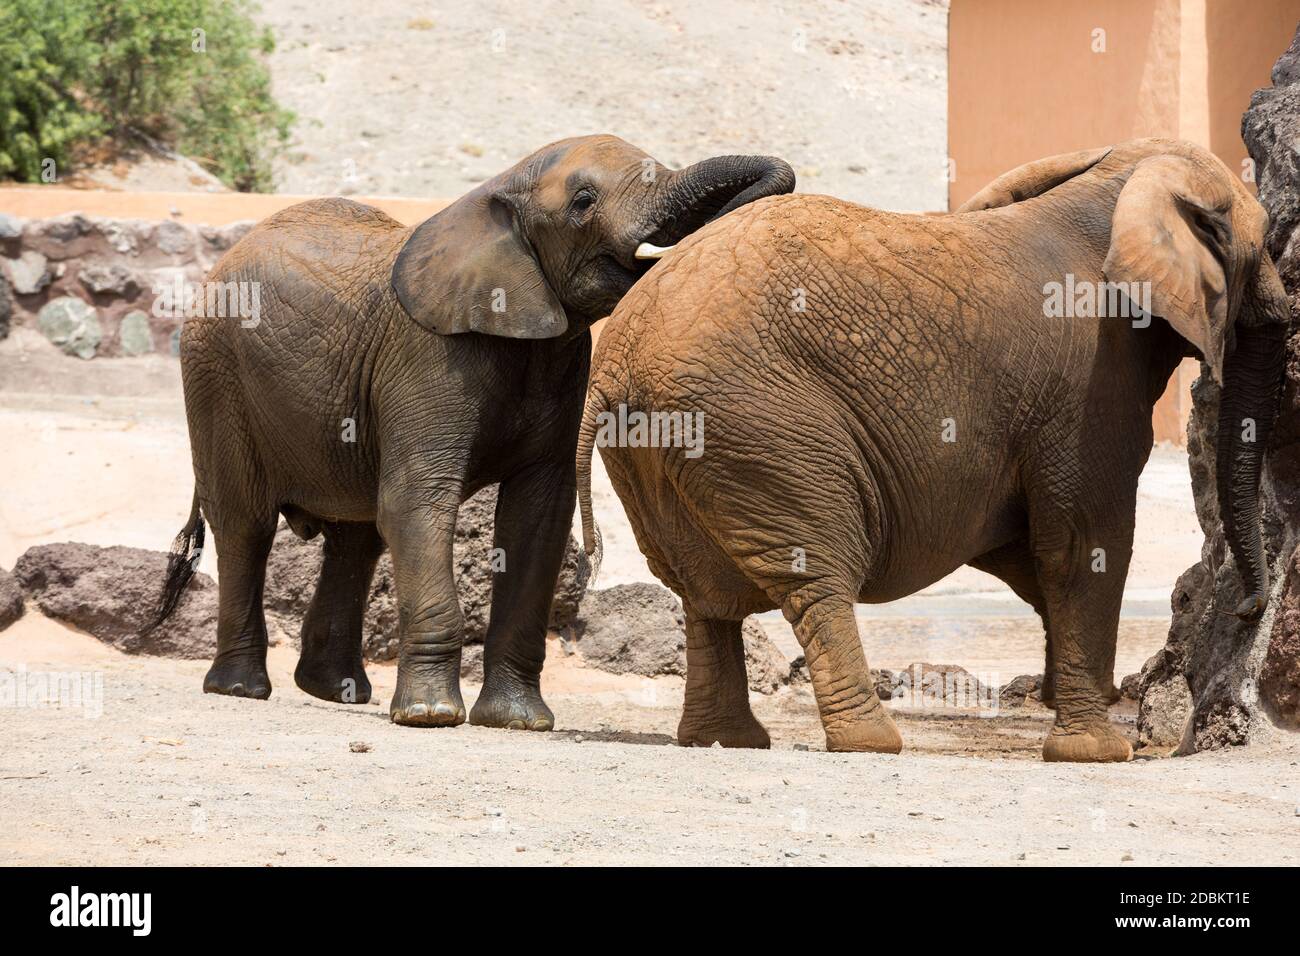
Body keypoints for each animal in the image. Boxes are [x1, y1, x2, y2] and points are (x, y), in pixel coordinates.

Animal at [150, 134, 795, 729]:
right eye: (583, 202)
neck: (497, 190)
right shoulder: (426, 354)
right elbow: (418, 501)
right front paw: (430, 716)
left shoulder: (562, 363)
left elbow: (537, 519)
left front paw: (518, 721)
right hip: (212, 373)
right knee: (246, 524)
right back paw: (240, 689)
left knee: (355, 538)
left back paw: (336, 692)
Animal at [577, 138, 1290, 762]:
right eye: (1261, 244)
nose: (1250, 607)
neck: (1115, 186)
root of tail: (617, 361)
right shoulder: (1091, 382)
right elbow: (1085, 543)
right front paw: (1100, 755)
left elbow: (1024, 545)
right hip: (758, 423)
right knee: (816, 573)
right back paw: (871, 743)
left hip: (664, 444)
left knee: (700, 594)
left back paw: (724, 741)